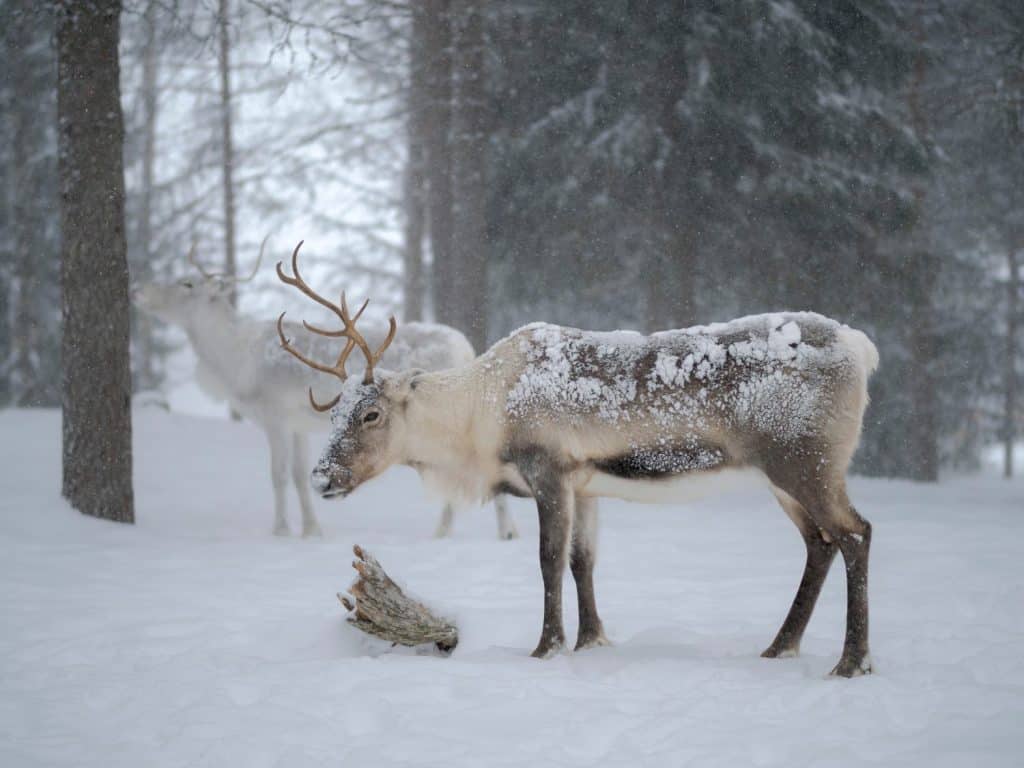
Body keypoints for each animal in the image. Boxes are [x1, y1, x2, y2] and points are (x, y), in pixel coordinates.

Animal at [132, 241, 518, 540]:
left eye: (186, 283)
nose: (137, 290)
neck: (232, 361)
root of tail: (468, 350)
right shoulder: (298, 422)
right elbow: (299, 475)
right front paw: (310, 529)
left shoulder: (274, 413)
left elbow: (277, 474)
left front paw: (281, 529)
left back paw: (490, 532)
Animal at [277, 242, 880, 677]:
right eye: (332, 413)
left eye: (371, 414)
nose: (322, 476)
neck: (481, 420)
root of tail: (862, 347)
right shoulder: (585, 482)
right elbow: (582, 560)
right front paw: (592, 640)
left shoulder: (548, 469)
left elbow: (547, 559)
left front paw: (546, 647)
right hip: (785, 474)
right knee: (820, 542)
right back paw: (780, 648)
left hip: (806, 461)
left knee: (855, 532)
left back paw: (851, 662)